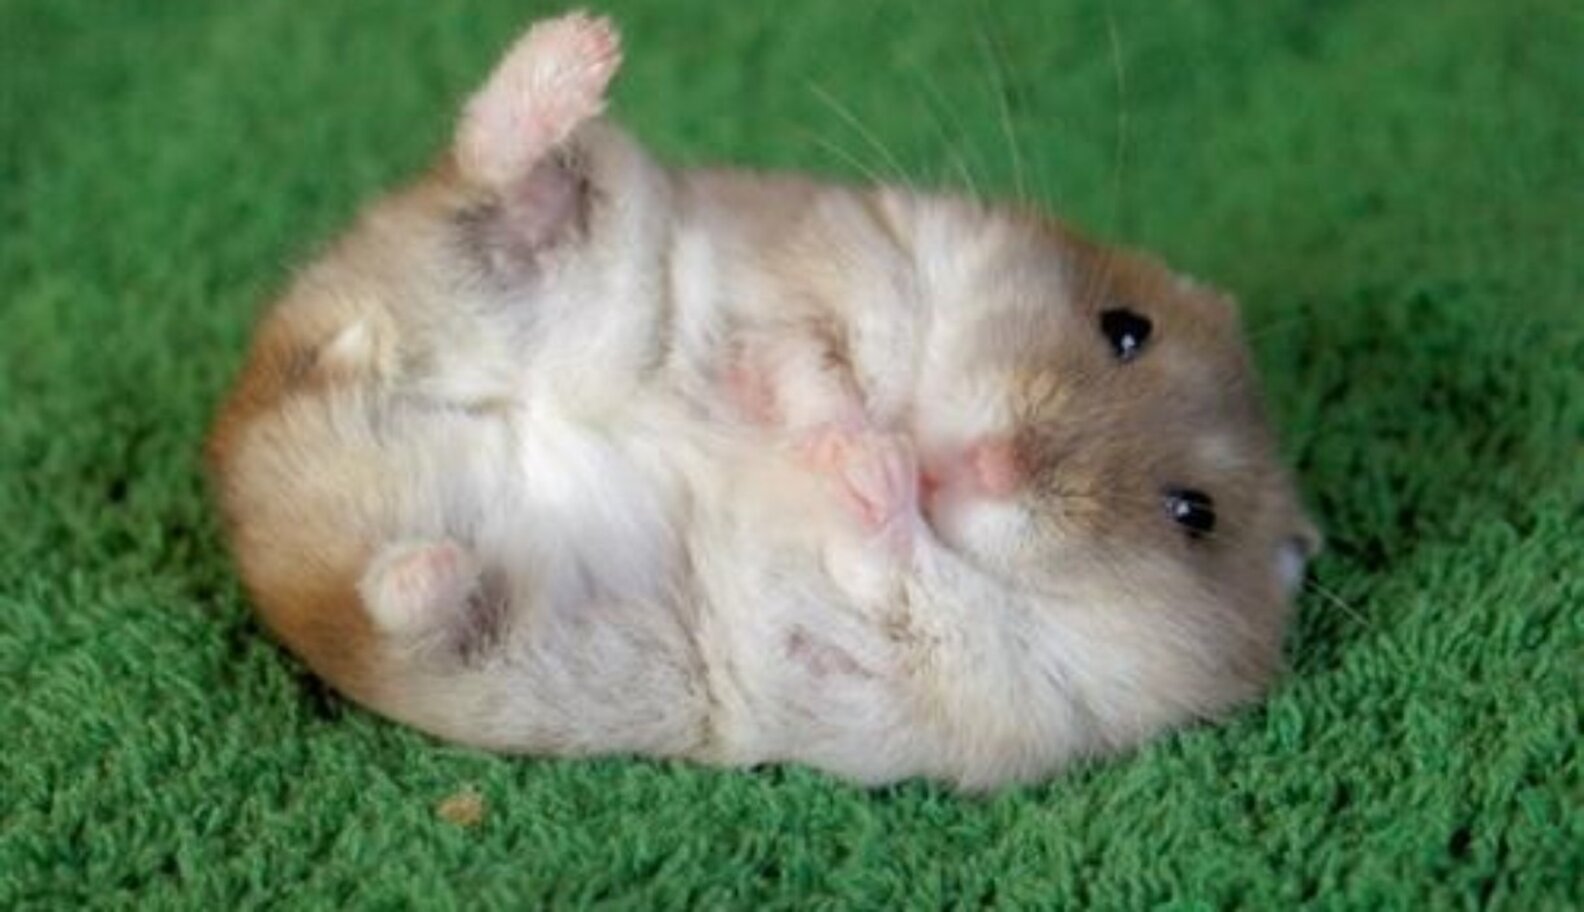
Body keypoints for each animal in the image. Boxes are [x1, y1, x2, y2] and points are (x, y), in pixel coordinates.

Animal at [207, 12, 1318, 789]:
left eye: (1194, 514)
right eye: (1124, 327)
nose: (980, 466)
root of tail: (261, 426)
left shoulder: (990, 679)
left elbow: (894, 564)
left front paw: (862, 467)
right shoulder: (845, 258)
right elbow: (810, 359)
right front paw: (830, 429)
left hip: (458, 640)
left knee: (396, 604)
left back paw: (435, 566)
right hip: (558, 250)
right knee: (499, 174)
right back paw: (580, 51)